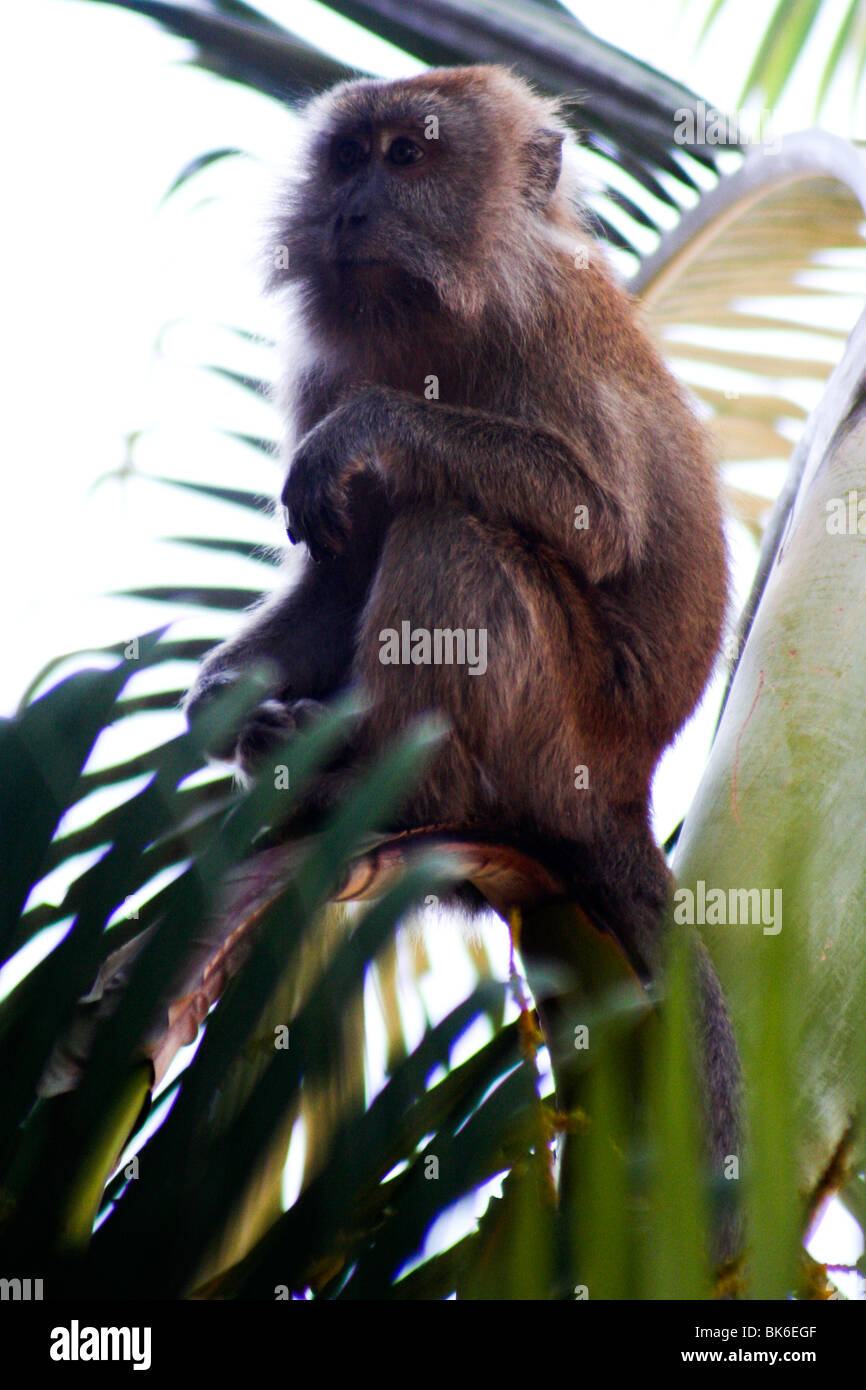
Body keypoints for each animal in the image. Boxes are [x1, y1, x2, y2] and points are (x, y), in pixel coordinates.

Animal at [184, 64, 741, 1235]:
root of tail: (625, 785)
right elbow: (336, 574)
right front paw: (222, 702)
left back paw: (391, 781)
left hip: (563, 730)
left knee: (456, 525)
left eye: (408, 157)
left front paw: (376, 432)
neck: (433, 315)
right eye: (350, 159)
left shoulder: (548, 324)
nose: (349, 212)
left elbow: (590, 518)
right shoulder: (330, 361)